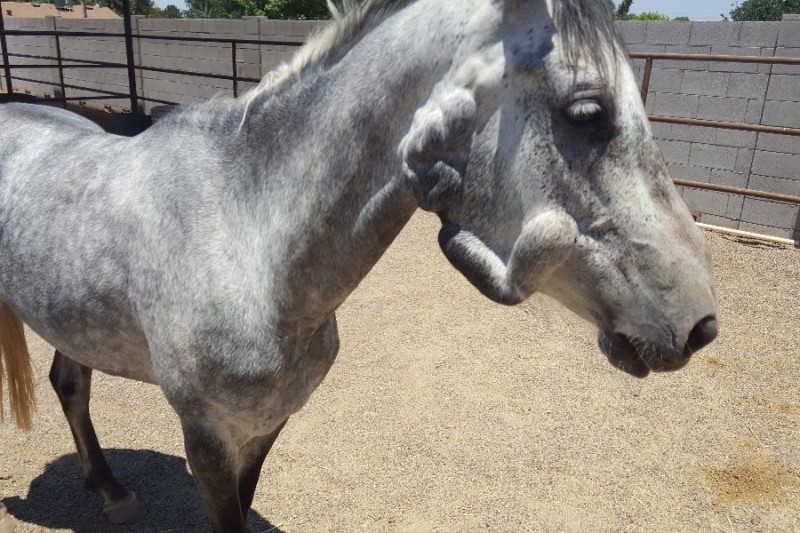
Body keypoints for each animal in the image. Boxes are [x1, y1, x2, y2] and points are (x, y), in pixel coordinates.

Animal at [0, 0, 718, 530]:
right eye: (587, 111)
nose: (701, 325)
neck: (246, 231)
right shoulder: (205, 435)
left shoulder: (266, 425)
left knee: (70, 384)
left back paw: (110, 490)